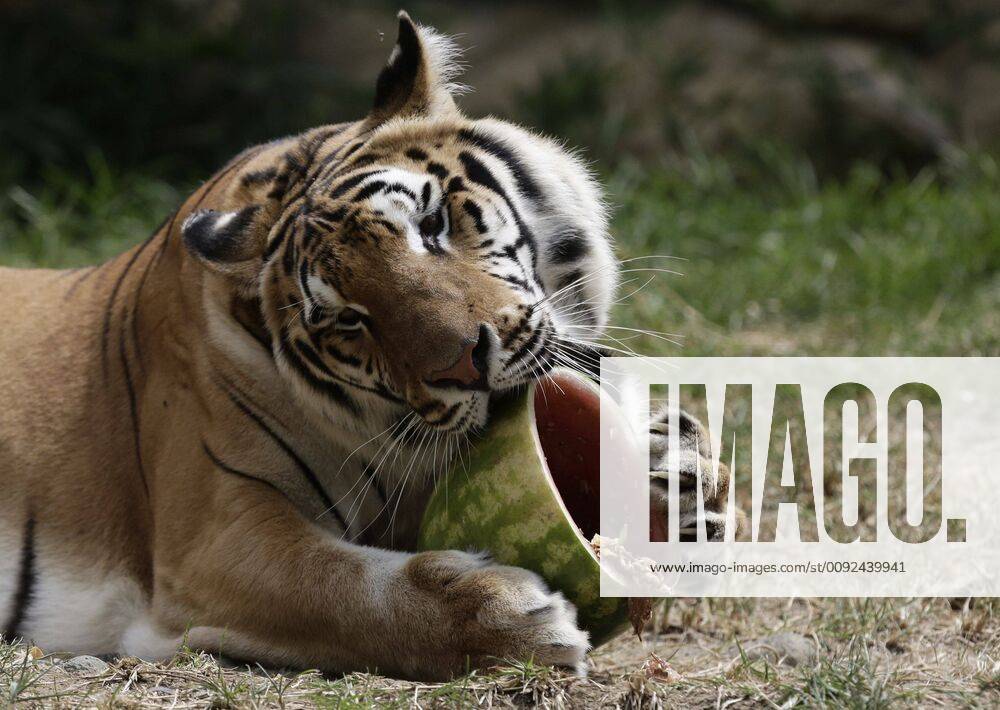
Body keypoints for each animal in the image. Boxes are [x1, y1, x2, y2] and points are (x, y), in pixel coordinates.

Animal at [0, 12, 733, 680]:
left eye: (432, 224)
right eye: (349, 320)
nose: (467, 363)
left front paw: (680, 469)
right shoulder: (212, 537)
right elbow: (348, 590)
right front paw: (505, 616)